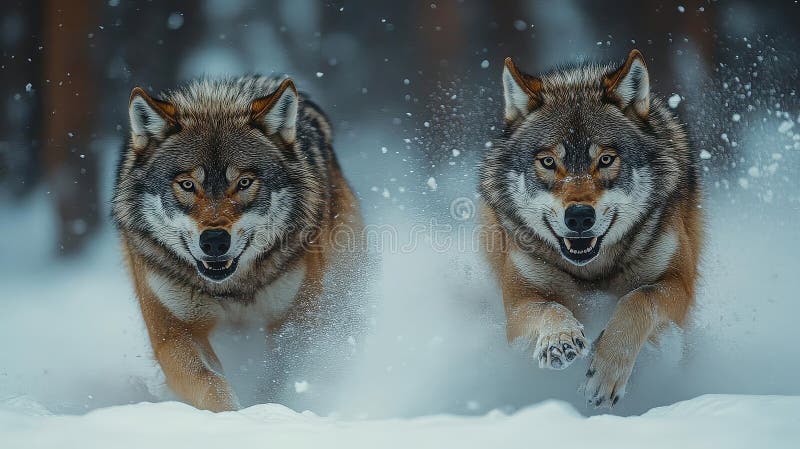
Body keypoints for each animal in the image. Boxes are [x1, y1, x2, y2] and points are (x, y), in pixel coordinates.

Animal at [112, 75, 364, 411]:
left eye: (243, 182)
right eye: (187, 185)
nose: (214, 241)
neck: (231, 291)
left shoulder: (295, 325)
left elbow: (281, 378)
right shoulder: (174, 333)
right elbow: (210, 383)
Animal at [479, 50, 702, 407]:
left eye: (606, 159)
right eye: (548, 162)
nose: (580, 216)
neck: (592, 270)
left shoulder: (677, 284)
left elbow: (638, 299)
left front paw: (607, 371)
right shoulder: (518, 305)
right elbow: (550, 306)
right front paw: (559, 340)